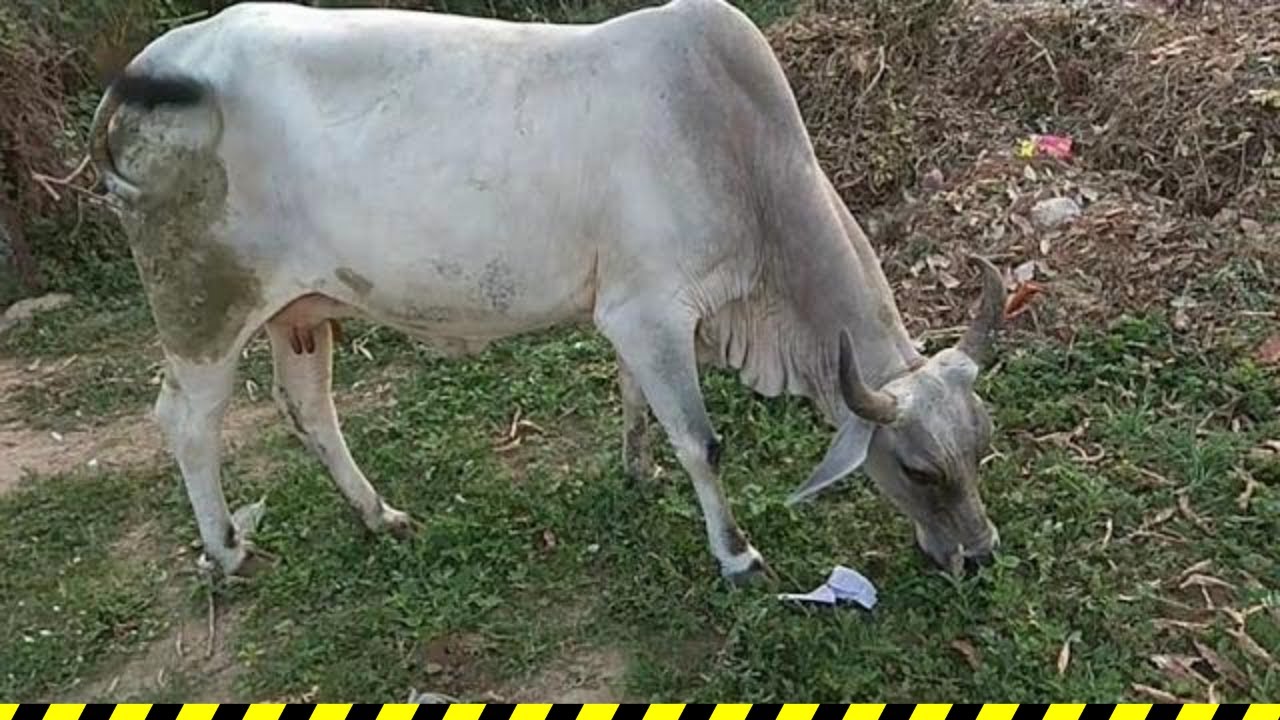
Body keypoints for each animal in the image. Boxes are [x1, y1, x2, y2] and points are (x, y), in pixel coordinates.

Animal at [89, 0, 1007, 585]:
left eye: (981, 448)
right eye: (918, 469)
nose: (980, 554)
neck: (742, 158)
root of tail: (148, 67)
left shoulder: (637, 318)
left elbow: (641, 407)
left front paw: (639, 470)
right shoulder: (650, 311)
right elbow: (703, 442)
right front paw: (737, 555)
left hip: (300, 309)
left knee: (307, 407)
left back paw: (380, 516)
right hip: (204, 305)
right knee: (188, 420)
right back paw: (227, 551)